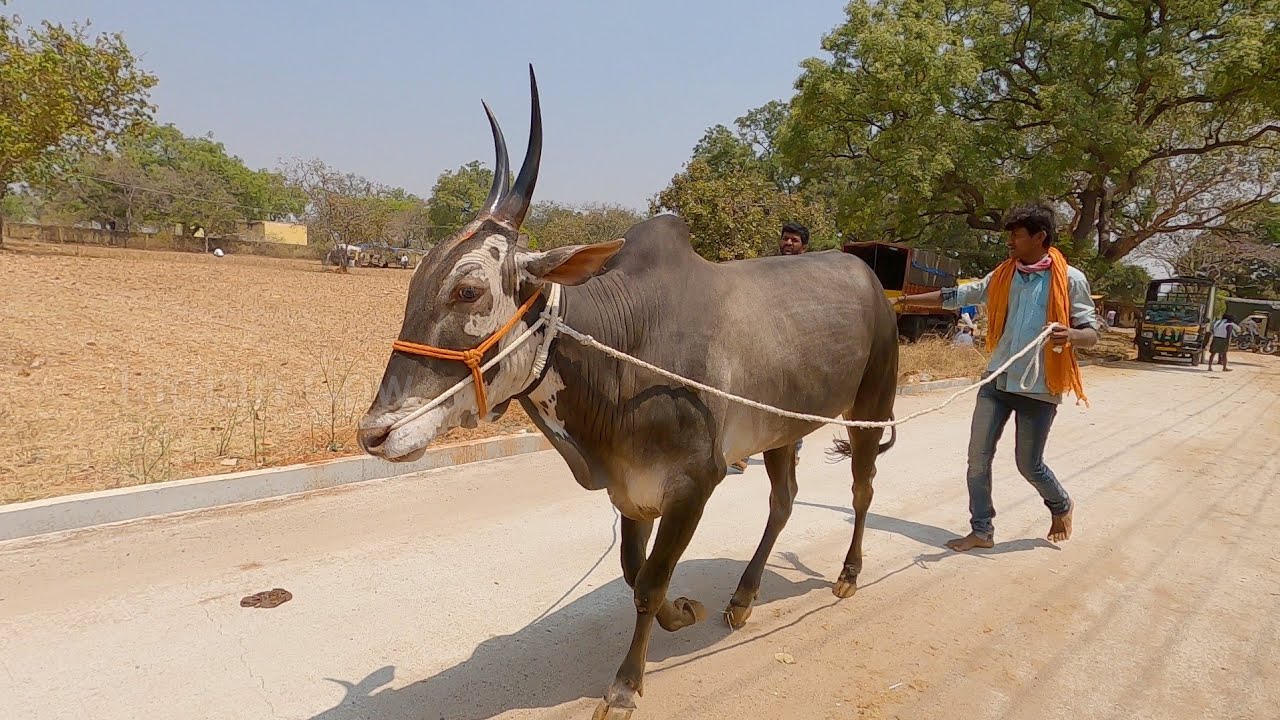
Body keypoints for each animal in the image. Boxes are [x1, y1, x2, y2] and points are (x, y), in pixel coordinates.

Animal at [357, 66, 899, 720]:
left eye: (468, 291)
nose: (376, 433)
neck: (624, 351)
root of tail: (866, 274)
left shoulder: (695, 483)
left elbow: (650, 580)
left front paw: (623, 685)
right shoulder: (631, 490)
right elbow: (632, 572)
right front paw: (682, 614)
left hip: (871, 406)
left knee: (863, 489)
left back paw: (848, 573)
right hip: (781, 429)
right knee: (784, 500)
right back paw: (743, 597)